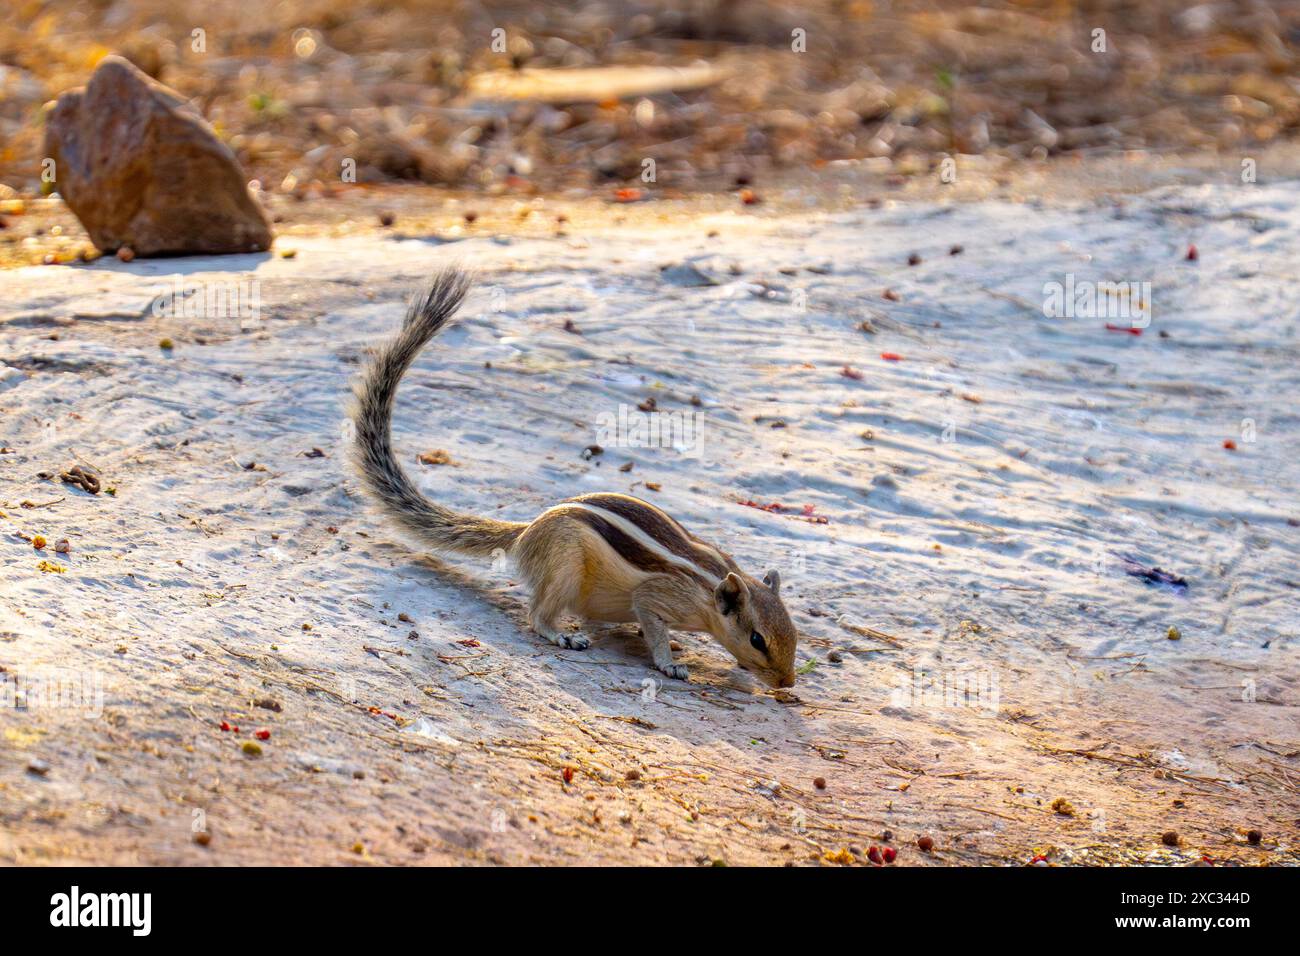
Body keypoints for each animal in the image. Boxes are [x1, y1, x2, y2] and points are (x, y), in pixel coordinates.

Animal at [350, 269, 798, 687]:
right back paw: (562, 634)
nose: (787, 683)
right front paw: (669, 662)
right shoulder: (657, 596)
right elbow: (651, 621)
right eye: (757, 639)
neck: (708, 590)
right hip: (564, 564)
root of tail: (527, 531)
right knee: (538, 612)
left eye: (793, 633)